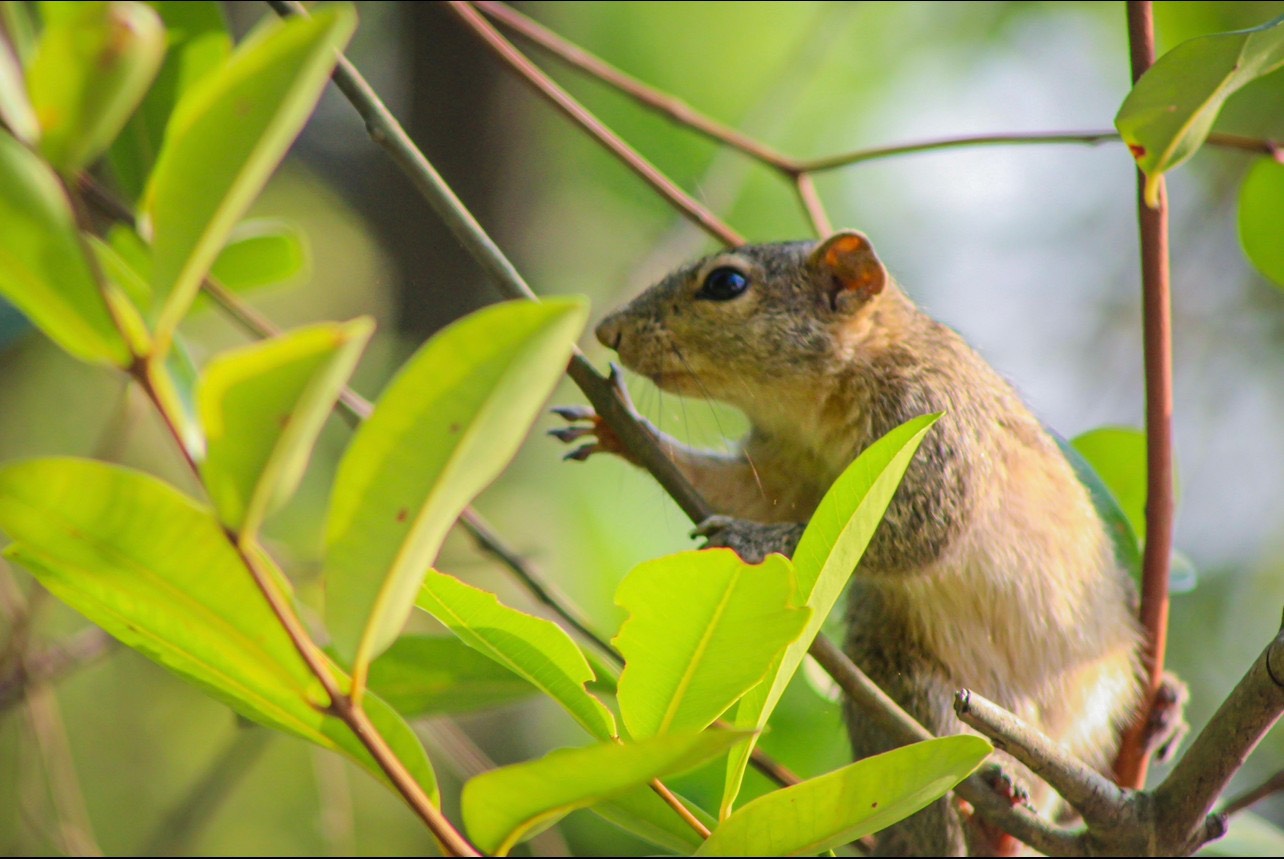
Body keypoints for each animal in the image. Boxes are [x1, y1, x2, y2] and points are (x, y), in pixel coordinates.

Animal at [570, 231, 1145, 852]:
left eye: (727, 283)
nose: (609, 331)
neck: (818, 402)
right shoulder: (782, 465)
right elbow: (738, 491)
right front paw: (622, 427)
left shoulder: (934, 421)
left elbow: (920, 531)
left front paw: (753, 540)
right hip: (903, 668)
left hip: (1083, 704)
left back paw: (1008, 779)